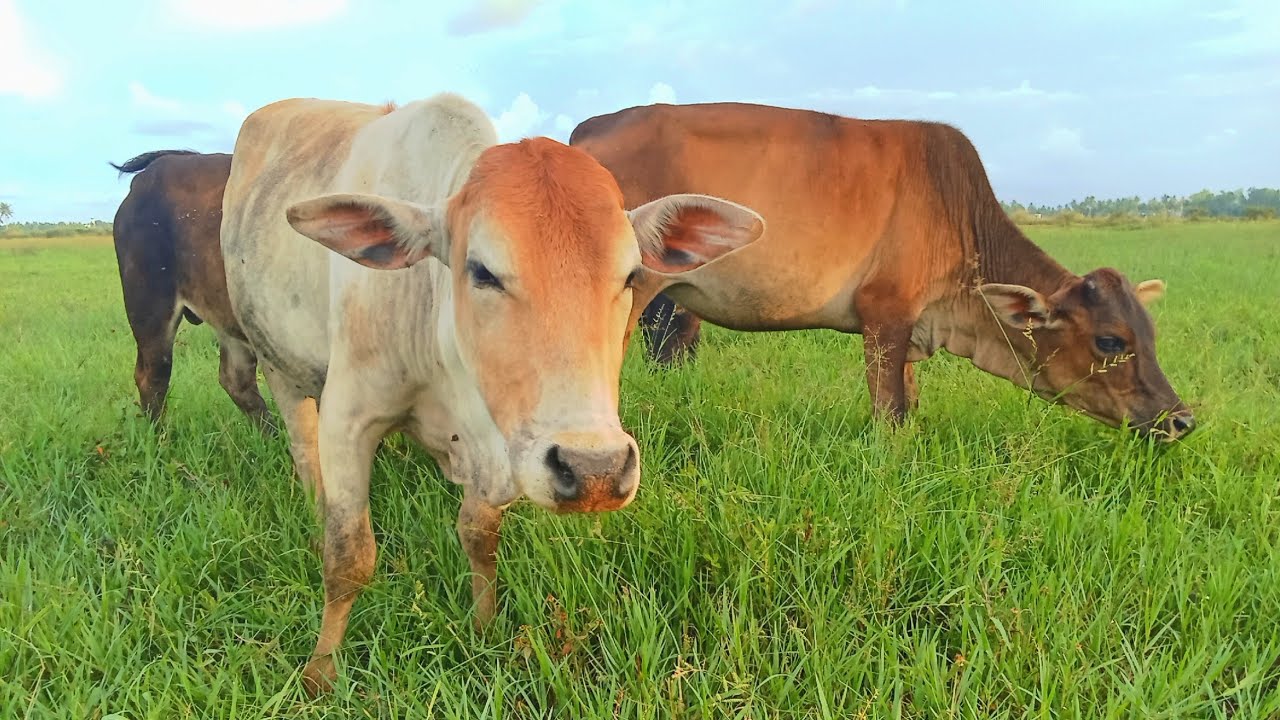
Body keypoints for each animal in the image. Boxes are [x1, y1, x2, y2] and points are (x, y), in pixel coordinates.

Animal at [219, 94, 765, 694]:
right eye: (481, 271)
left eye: (630, 276)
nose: (594, 469)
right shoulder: (349, 417)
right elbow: (348, 557)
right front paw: (320, 670)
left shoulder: (502, 442)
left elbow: (479, 535)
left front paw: (484, 627)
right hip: (279, 367)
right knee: (305, 456)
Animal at [571, 102, 1196, 440]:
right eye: (1111, 340)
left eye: (1150, 335)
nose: (1181, 421)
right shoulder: (885, 315)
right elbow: (890, 415)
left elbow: (910, 405)